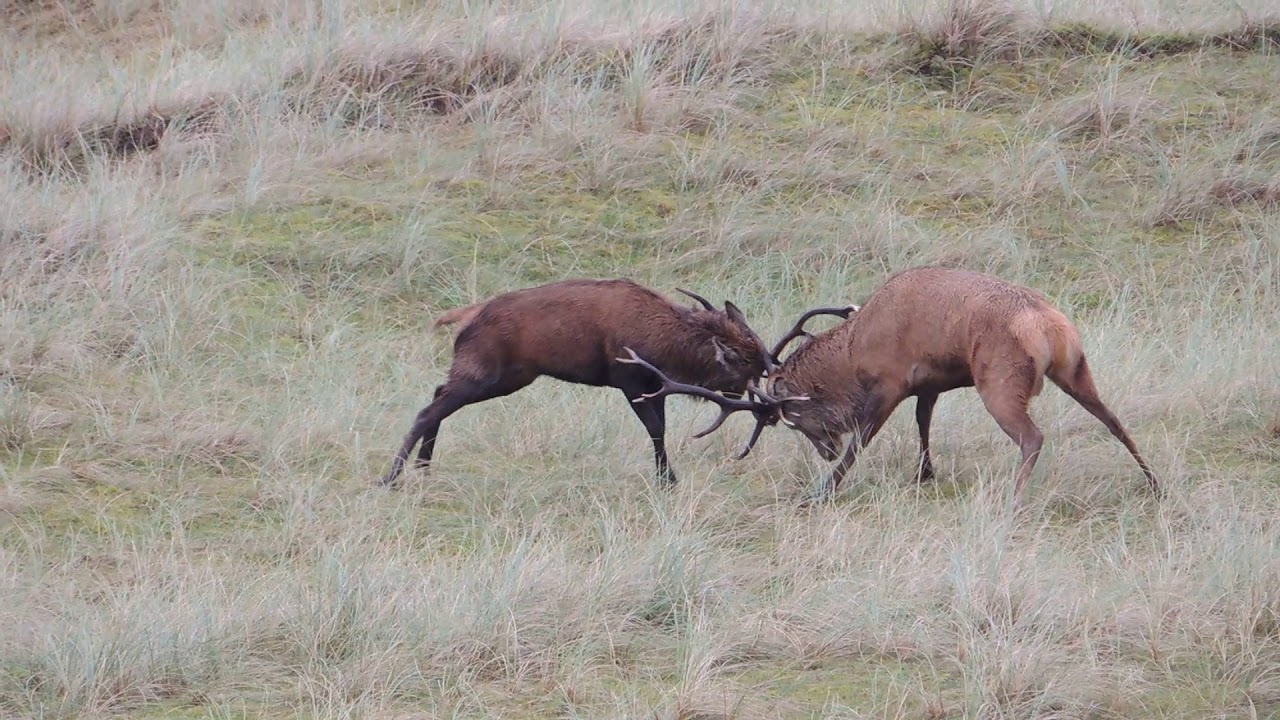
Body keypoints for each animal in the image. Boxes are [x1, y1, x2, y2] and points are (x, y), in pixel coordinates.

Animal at [377, 278, 782, 489]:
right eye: (744, 371)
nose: (769, 413)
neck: (666, 346)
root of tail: (466, 317)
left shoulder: (654, 384)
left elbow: (661, 428)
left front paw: (666, 477)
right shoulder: (629, 380)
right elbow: (655, 429)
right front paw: (668, 479)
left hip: (508, 377)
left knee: (437, 397)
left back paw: (424, 468)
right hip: (486, 371)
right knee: (428, 409)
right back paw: (391, 477)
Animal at [620, 266, 1161, 504]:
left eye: (792, 417)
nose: (822, 449)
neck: (853, 353)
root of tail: (1049, 327)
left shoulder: (888, 383)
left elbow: (860, 441)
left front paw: (822, 491)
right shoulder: (931, 383)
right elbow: (923, 424)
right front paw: (925, 473)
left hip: (999, 380)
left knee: (1033, 437)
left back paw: (1011, 499)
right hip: (1075, 369)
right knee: (1113, 420)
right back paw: (1153, 482)